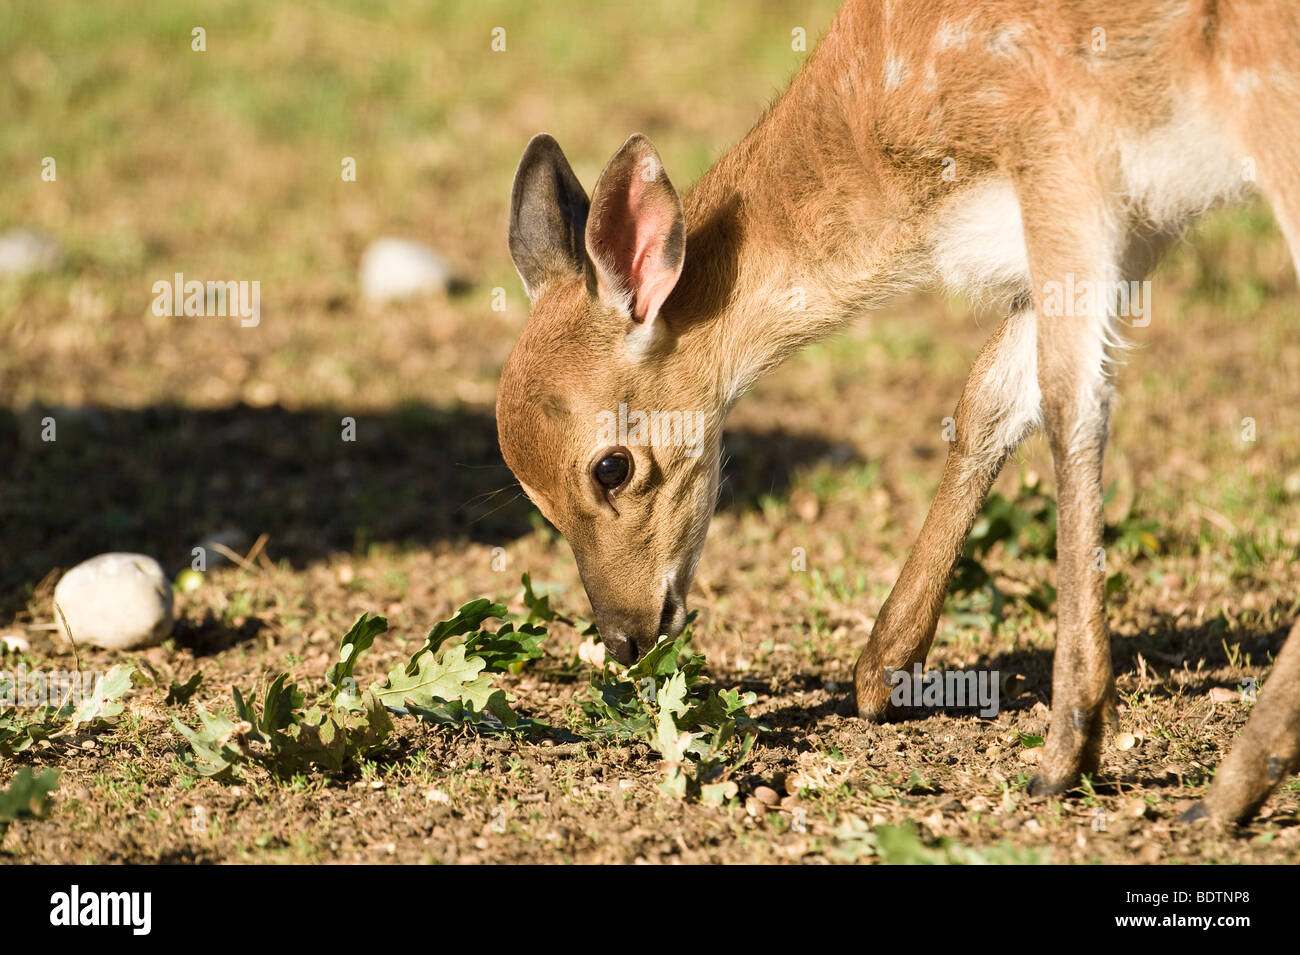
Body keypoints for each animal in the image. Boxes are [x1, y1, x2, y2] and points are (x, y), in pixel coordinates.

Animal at [494, 0, 1300, 824]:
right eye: (530, 497)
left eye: (611, 466)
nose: (625, 638)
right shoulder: (1141, 215)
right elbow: (991, 393)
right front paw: (885, 671)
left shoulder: (1060, 153)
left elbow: (1070, 402)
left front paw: (1068, 747)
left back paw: (1228, 785)